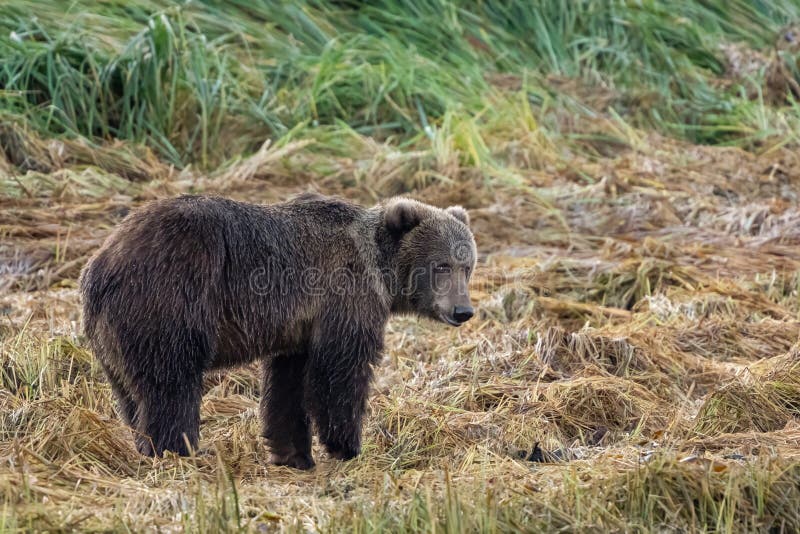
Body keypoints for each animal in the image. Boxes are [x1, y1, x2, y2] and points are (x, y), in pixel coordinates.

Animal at [80, 193, 476, 469]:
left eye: (467, 265)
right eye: (441, 265)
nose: (463, 310)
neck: (379, 267)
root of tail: (101, 265)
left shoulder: (298, 329)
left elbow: (289, 386)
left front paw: (293, 454)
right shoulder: (343, 297)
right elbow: (341, 372)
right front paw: (347, 446)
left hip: (114, 336)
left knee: (132, 393)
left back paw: (146, 445)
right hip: (171, 303)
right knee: (171, 384)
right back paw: (179, 449)